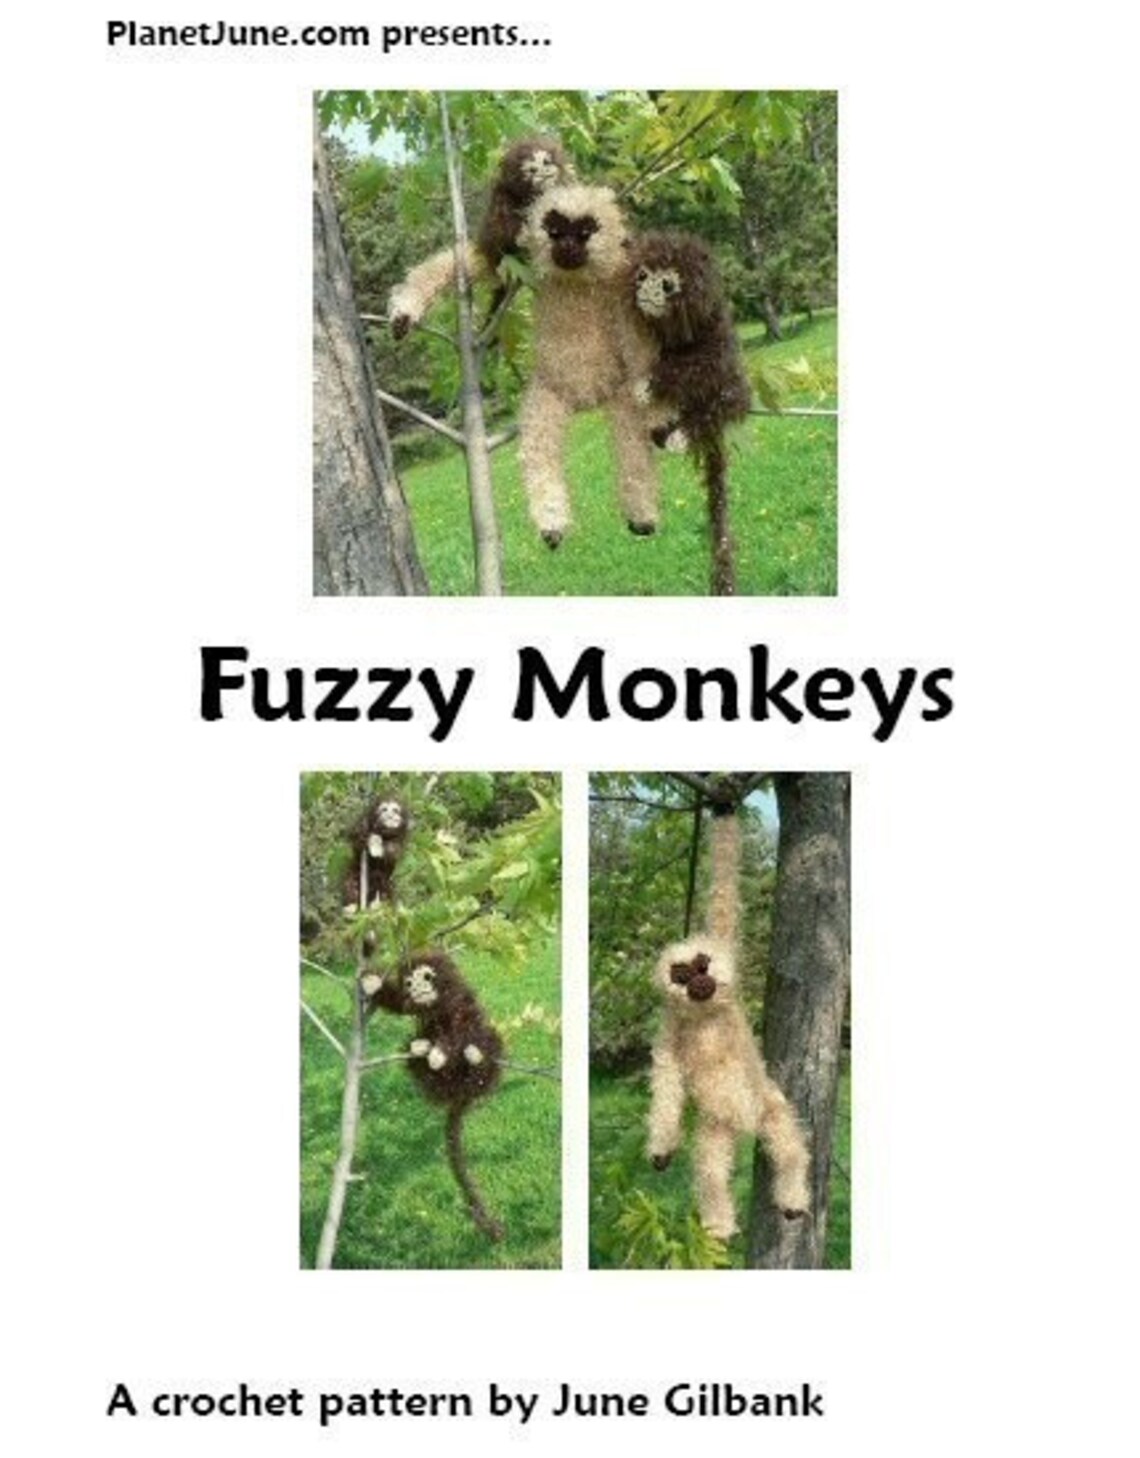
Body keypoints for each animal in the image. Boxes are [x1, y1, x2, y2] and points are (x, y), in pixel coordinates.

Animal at [360, 950, 505, 1240]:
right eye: (407, 982)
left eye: (426, 976)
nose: (416, 987)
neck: (438, 1004)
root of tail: (460, 1095)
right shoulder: (415, 1006)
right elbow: (399, 1003)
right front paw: (371, 982)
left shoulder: (461, 1004)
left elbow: (461, 1029)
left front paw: (443, 1050)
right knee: (418, 1057)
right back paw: (421, 1049)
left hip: (487, 1062)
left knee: (486, 1043)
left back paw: (473, 1056)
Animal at [627, 231, 753, 593]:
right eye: (642, 274)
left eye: (668, 284)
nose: (645, 290)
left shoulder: (713, 346)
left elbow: (693, 369)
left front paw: (646, 385)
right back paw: (665, 432)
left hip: (726, 400)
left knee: (706, 415)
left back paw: (682, 435)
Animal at [646, 805, 810, 1240]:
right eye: (680, 975)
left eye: (704, 964)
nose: (699, 982)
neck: (707, 1015)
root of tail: (746, 1125)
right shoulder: (670, 1030)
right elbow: (666, 1085)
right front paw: (661, 1148)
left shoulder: (725, 944)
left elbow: (723, 890)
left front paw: (724, 809)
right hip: (715, 1126)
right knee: (711, 1172)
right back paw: (719, 1222)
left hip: (768, 1101)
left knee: (790, 1149)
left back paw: (792, 1198)